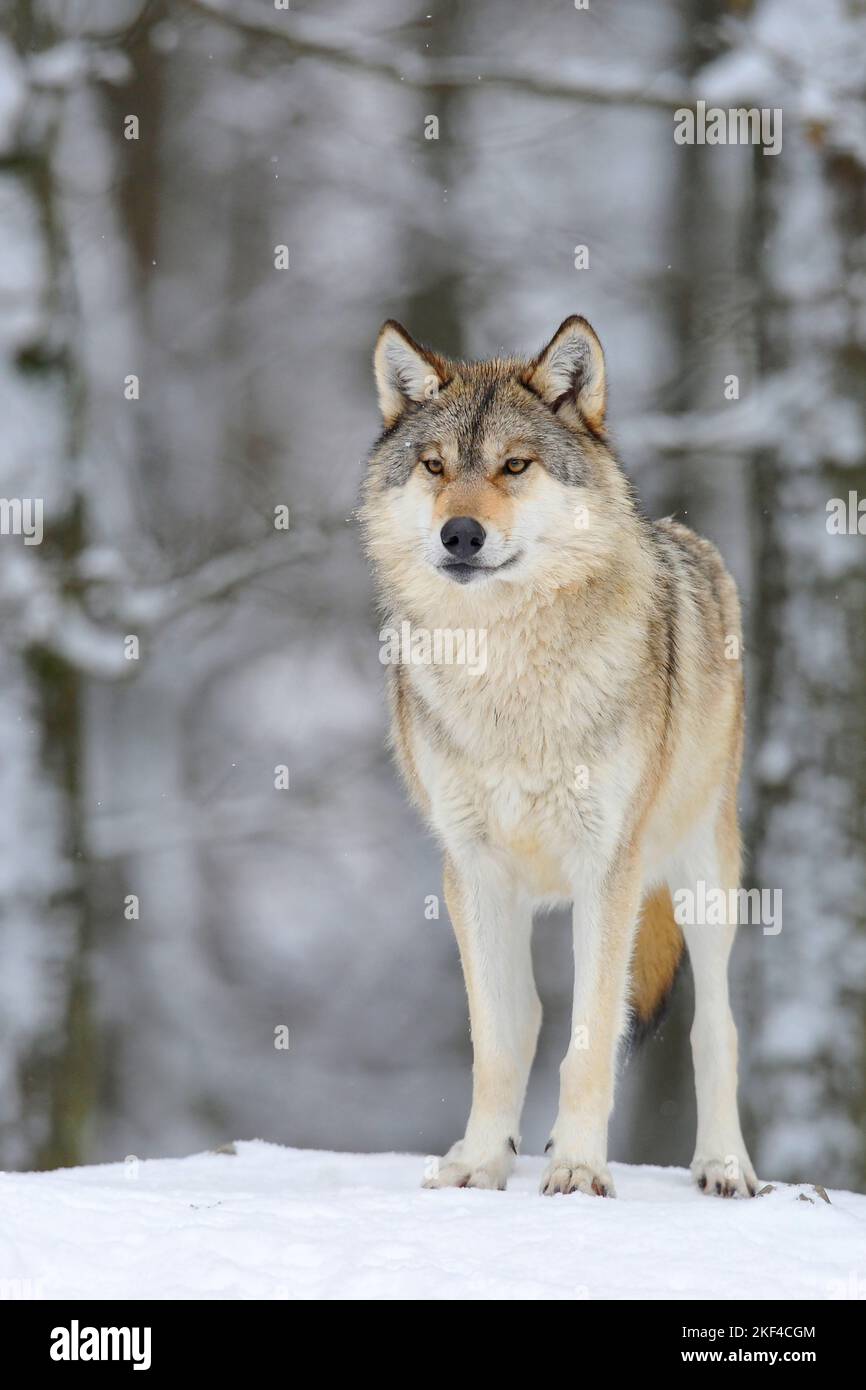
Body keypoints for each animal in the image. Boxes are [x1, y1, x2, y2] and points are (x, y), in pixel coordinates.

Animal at [361, 315, 757, 1199]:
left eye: (515, 465)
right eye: (435, 467)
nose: (460, 533)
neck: (507, 677)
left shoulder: (605, 867)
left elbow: (591, 1041)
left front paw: (577, 1167)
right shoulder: (470, 870)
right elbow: (499, 1044)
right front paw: (480, 1162)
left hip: (702, 877)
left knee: (716, 1027)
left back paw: (725, 1166)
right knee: (531, 1016)